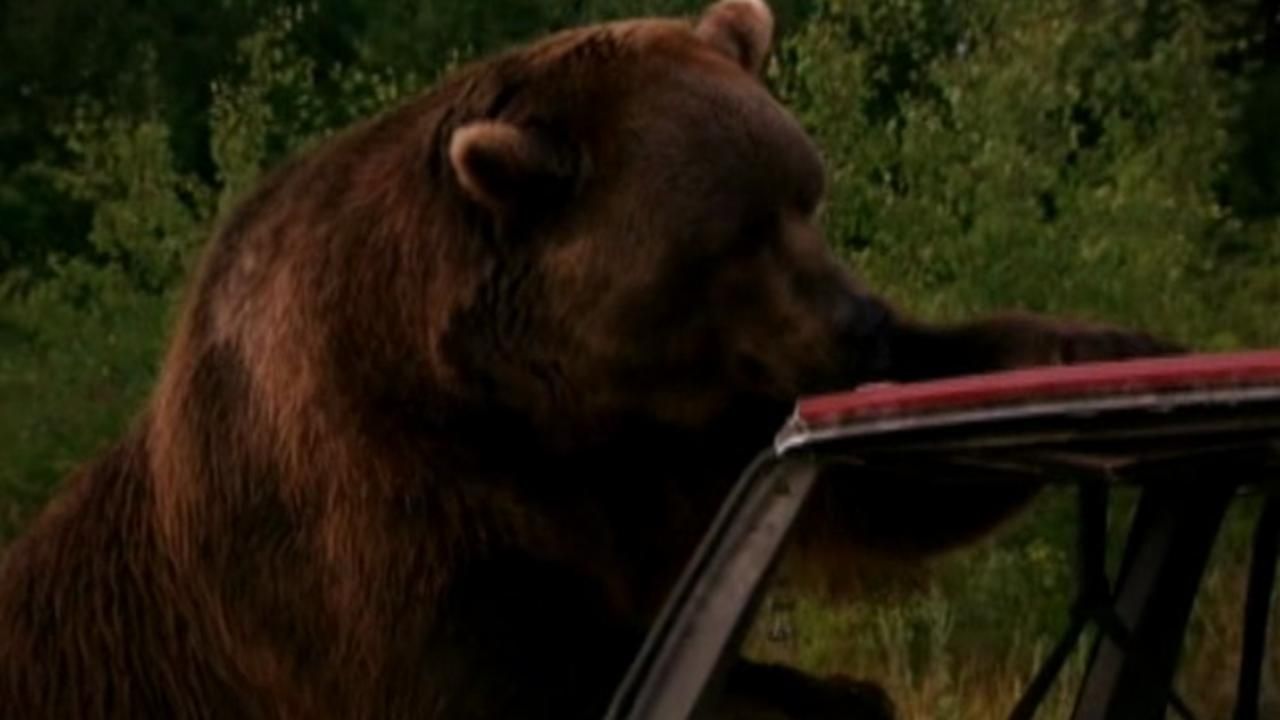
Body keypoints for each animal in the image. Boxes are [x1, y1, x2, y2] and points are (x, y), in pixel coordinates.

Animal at [0, 1, 1177, 718]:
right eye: (729, 236)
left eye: (806, 196)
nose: (858, 324)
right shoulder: (367, 501)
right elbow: (510, 669)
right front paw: (824, 693)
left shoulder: (682, 438)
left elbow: (888, 481)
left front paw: (1111, 340)